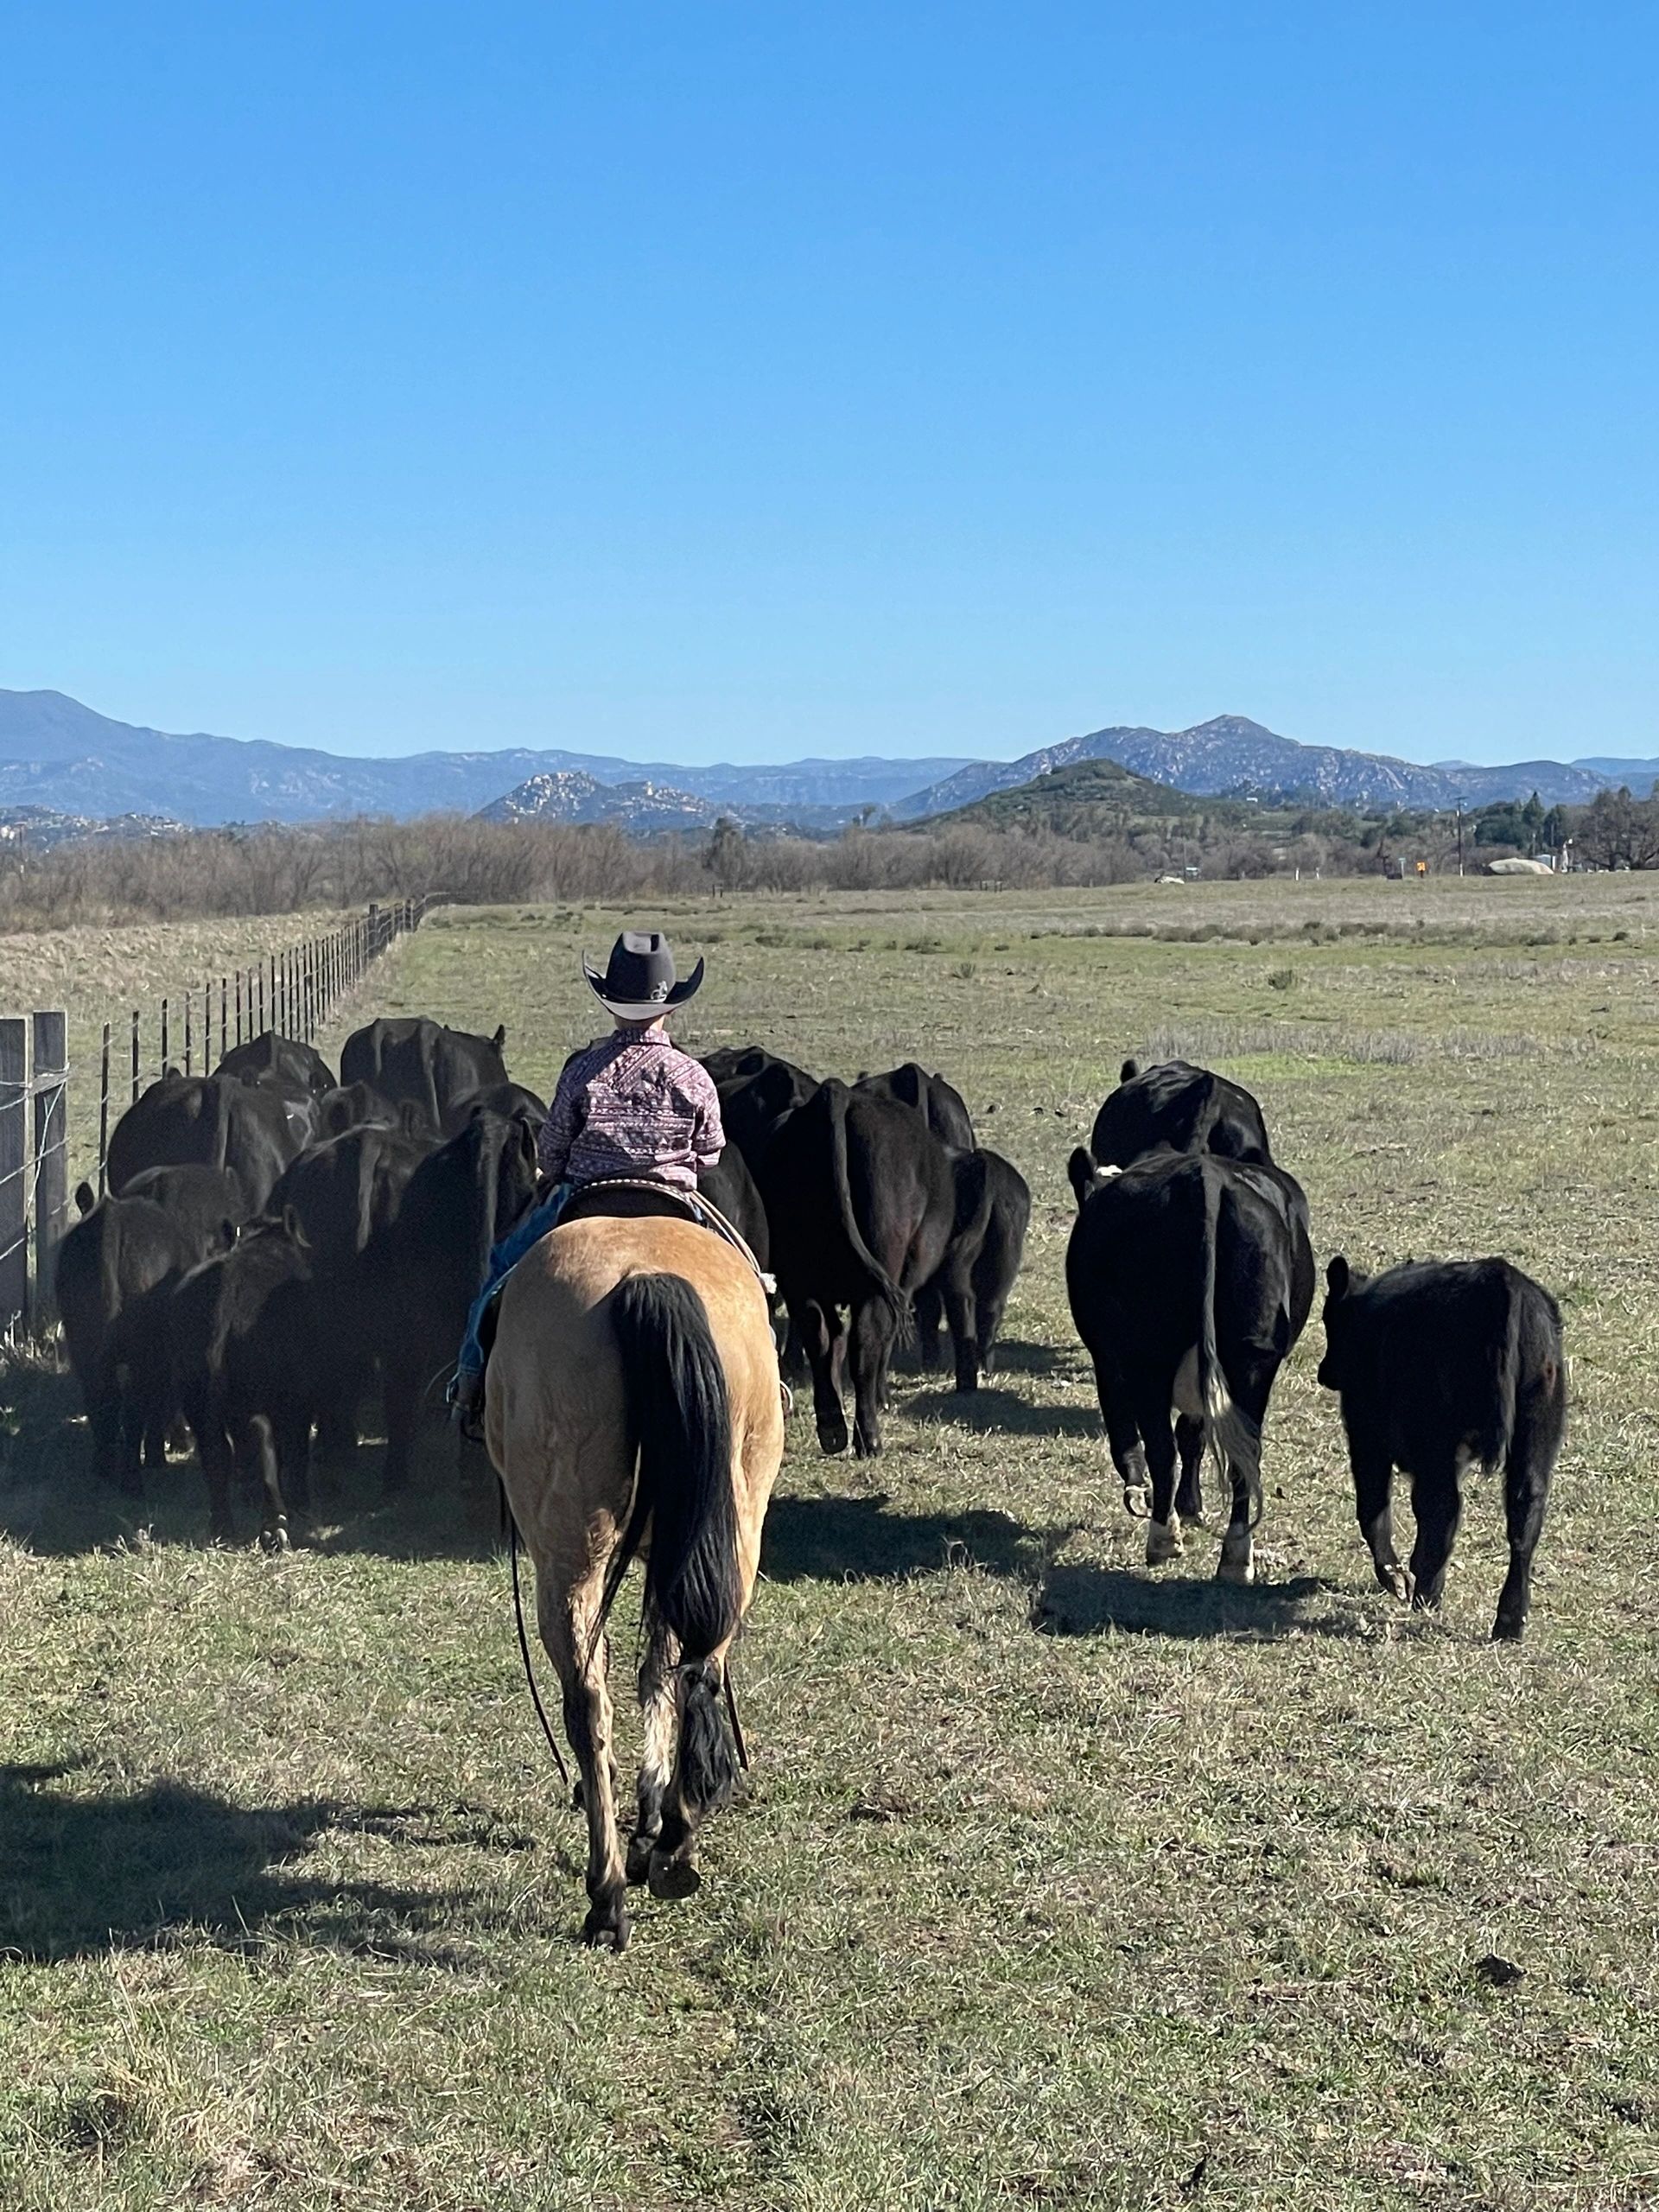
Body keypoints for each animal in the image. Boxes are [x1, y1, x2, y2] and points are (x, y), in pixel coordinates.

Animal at [56, 1180, 240, 1492]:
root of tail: (111, 1221)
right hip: (141, 1352)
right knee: (133, 1406)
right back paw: (132, 1479)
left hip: (83, 1343)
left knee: (100, 1397)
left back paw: (104, 1467)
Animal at [759, 1079, 955, 1457]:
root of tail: (839, 1094)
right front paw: (883, 1397)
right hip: (879, 1273)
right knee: (865, 1340)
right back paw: (870, 1437)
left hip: (799, 1276)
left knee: (821, 1334)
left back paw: (832, 1427)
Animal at [1065, 1149, 1314, 1584]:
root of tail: (1205, 1177)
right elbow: (1192, 1434)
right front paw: (1191, 1504)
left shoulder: (1106, 1359)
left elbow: (1129, 1437)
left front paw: (1145, 1494)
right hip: (1252, 1359)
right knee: (1244, 1455)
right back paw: (1236, 1558)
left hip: (1148, 1358)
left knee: (1161, 1449)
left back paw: (1163, 1538)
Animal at [1317, 1256, 1566, 1641]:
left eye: (1329, 1321)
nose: (1323, 1372)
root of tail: (1502, 1279)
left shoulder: (1366, 1432)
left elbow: (1372, 1505)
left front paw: (1394, 1577)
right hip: (1536, 1430)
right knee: (1525, 1515)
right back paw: (1509, 1621)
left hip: (1434, 1443)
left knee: (1441, 1505)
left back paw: (1426, 1591)